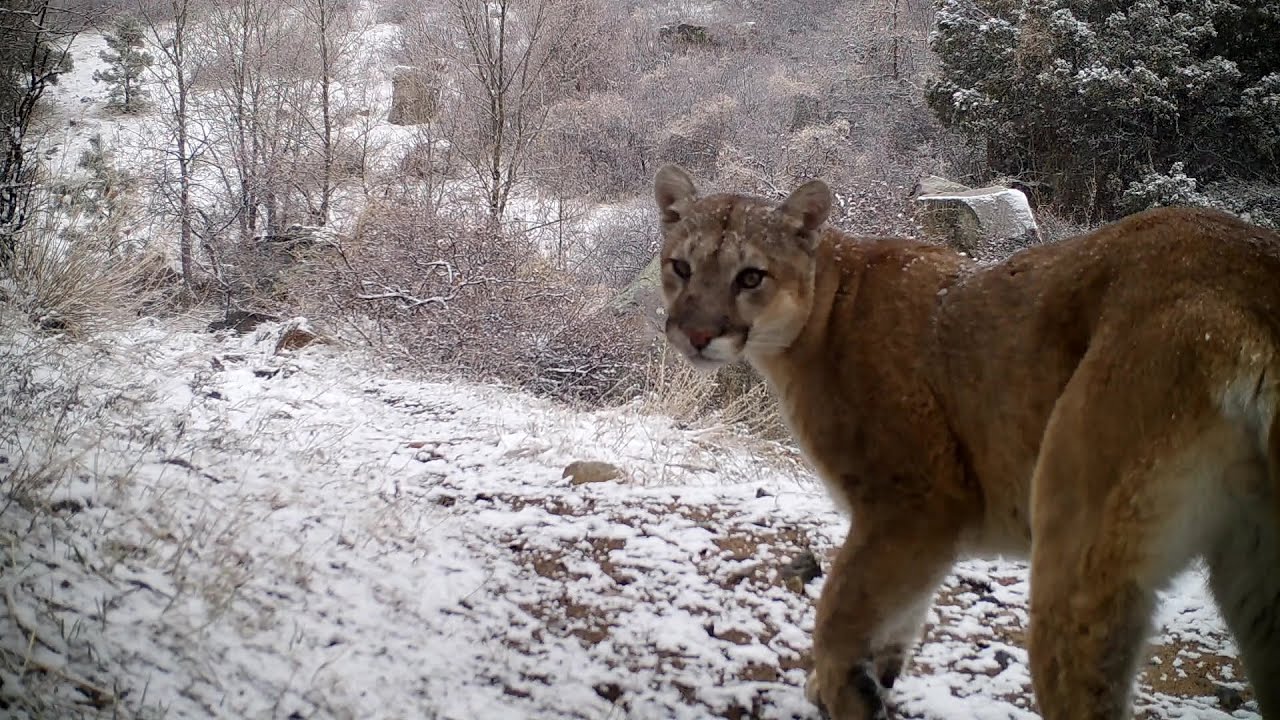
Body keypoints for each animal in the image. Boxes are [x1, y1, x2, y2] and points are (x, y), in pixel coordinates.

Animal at [652, 164, 1280, 719]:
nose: (696, 334)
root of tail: (1255, 273)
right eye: (680, 266)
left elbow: (840, 612)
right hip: (1254, 582)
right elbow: (900, 613)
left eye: (750, 277)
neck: (820, 316)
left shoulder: (917, 502)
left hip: (1078, 541)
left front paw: (843, 689)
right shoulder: (920, 532)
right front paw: (864, 680)